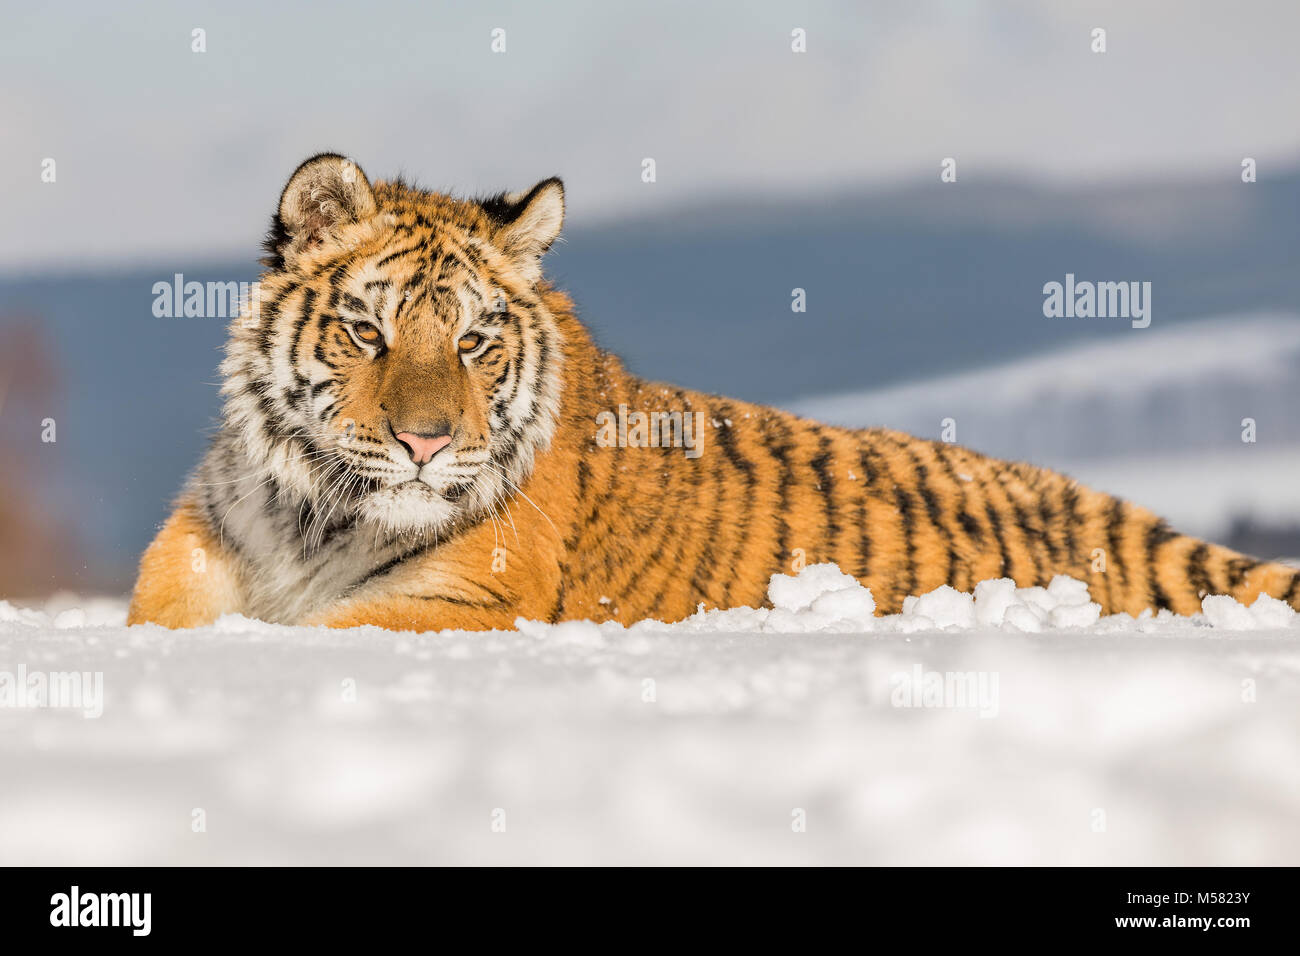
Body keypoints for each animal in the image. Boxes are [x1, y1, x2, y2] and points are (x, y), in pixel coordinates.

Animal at [127, 153, 1300, 630]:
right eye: (367, 330)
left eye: (473, 343)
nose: (424, 445)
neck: (314, 518)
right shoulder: (196, 552)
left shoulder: (458, 602)